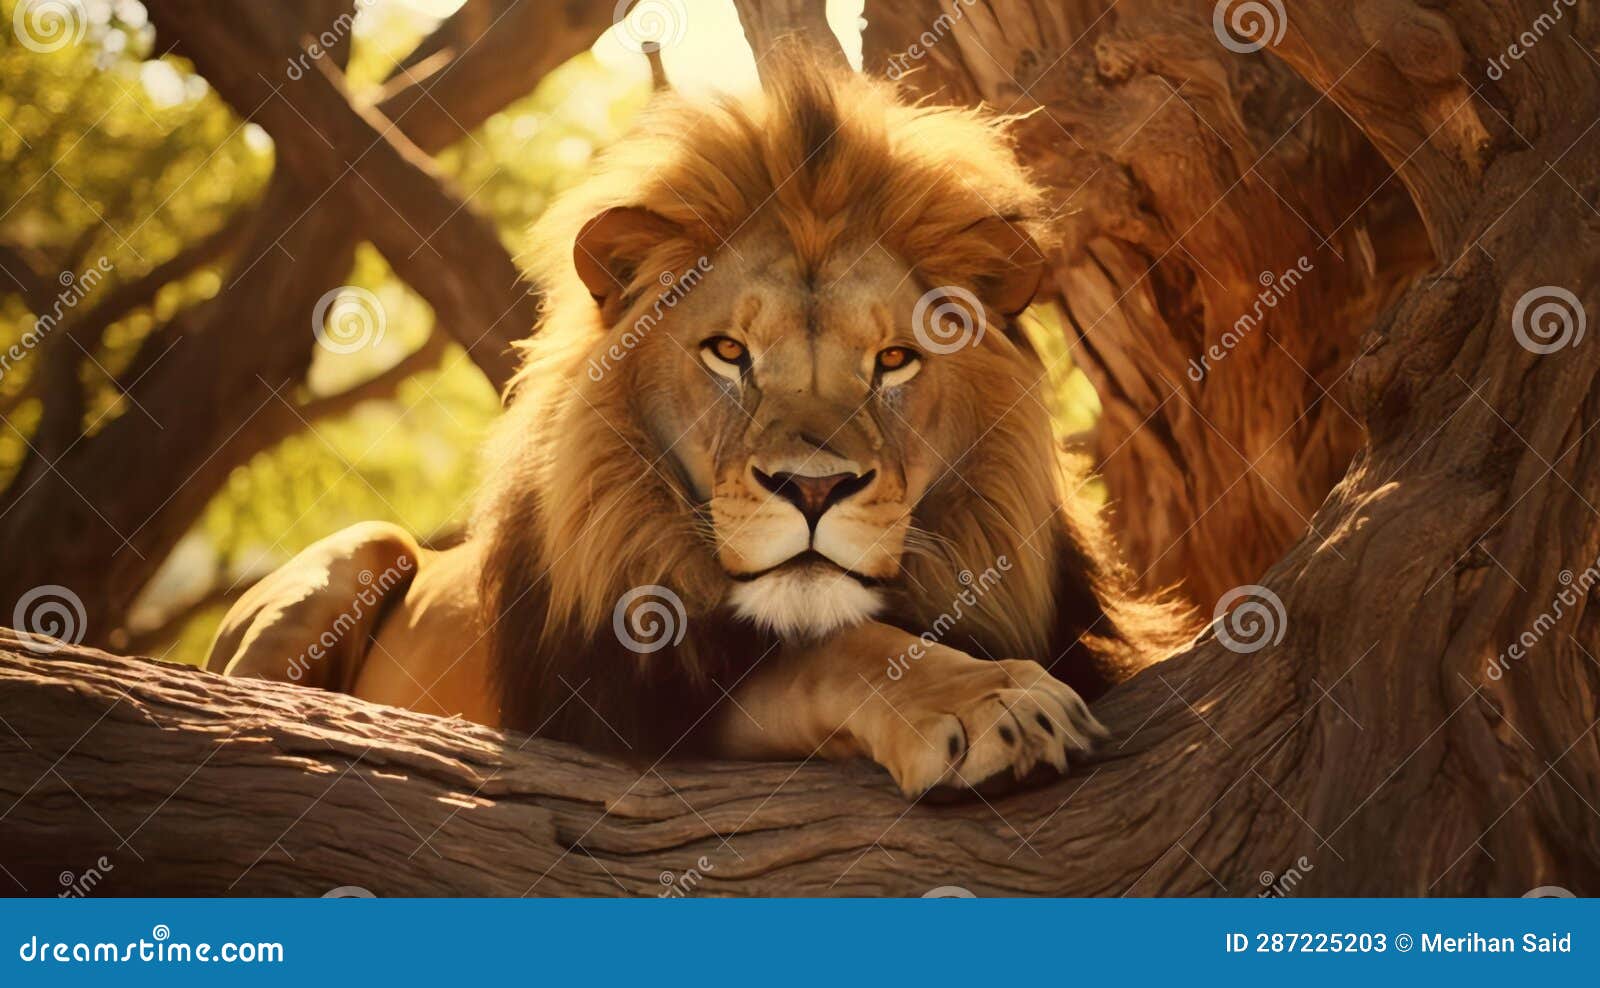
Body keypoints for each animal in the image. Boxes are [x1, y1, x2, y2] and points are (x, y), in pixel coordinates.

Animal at [207, 54, 1182, 797]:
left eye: (895, 361)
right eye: (727, 352)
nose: (814, 489)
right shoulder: (617, 707)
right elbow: (835, 653)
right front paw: (995, 704)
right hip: (356, 552)